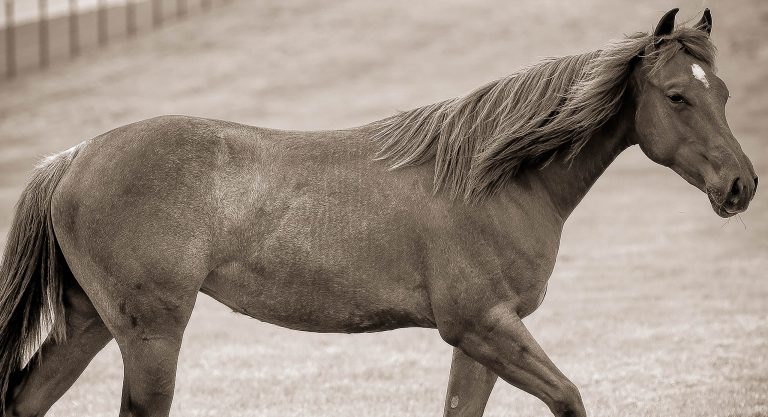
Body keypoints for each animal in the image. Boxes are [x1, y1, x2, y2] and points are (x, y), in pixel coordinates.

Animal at [0, 7, 757, 417]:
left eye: (720, 91)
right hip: (150, 334)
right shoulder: (483, 325)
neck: (494, 181)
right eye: (677, 96)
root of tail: (73, 157)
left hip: (88, 323)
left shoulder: (482, 337)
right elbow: (569, 396)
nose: (742, 185)